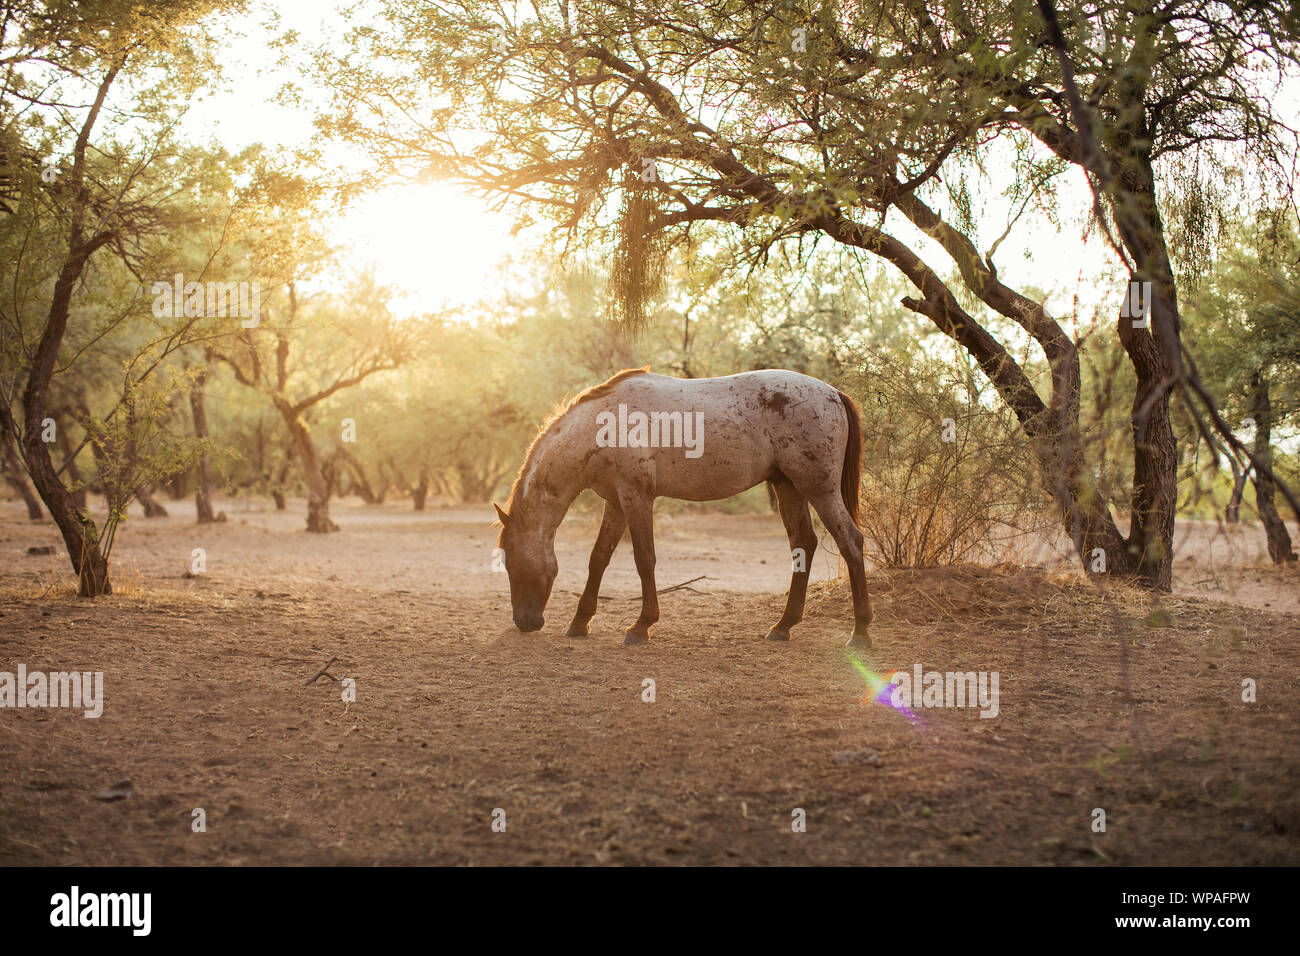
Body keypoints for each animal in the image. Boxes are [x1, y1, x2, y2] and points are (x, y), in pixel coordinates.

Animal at [494, 367, 872, 648]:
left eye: (511, 563)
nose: (524, 622)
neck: (603, 424)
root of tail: (833, 393)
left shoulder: (636, 497)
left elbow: (644, 559)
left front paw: (641, 626)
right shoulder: (615, 501)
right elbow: (598, 558)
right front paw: (580, 622)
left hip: (819, 490)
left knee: (851, 541)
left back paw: (861, 631)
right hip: (788, 487)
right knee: (803, 544)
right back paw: (783, 626)